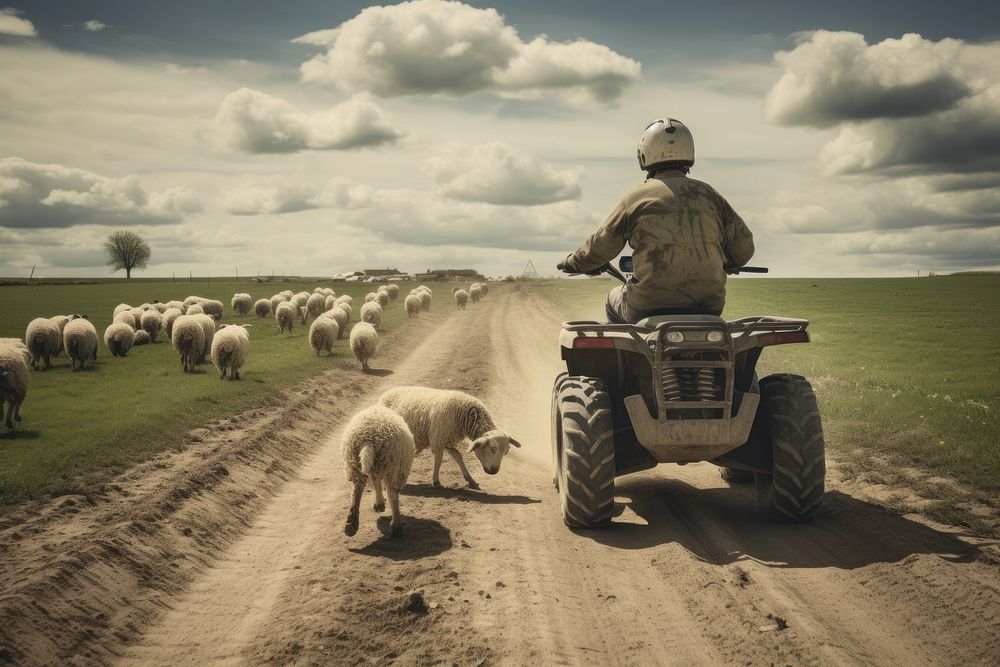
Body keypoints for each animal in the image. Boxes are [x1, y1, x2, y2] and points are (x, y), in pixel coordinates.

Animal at [341, 405, 415, 538]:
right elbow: (381, 486)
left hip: (355, 463)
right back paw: (396, 527)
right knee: (392, 494)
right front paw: (380, 504)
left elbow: (376, 484)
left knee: (356, 490)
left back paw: (351, 525)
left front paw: (379, 504)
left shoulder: (374, 470)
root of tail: (368, 438)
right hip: (393, 465)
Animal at [378, 387, 521, 490]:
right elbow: (439, 460)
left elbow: (458, 456)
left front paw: (470, 480)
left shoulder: (447, 440)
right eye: (493, 448)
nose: (494, 472)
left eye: (506, 452)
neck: (465, 415)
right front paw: (436, 481)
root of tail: (386, 393)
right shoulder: (438, 438)